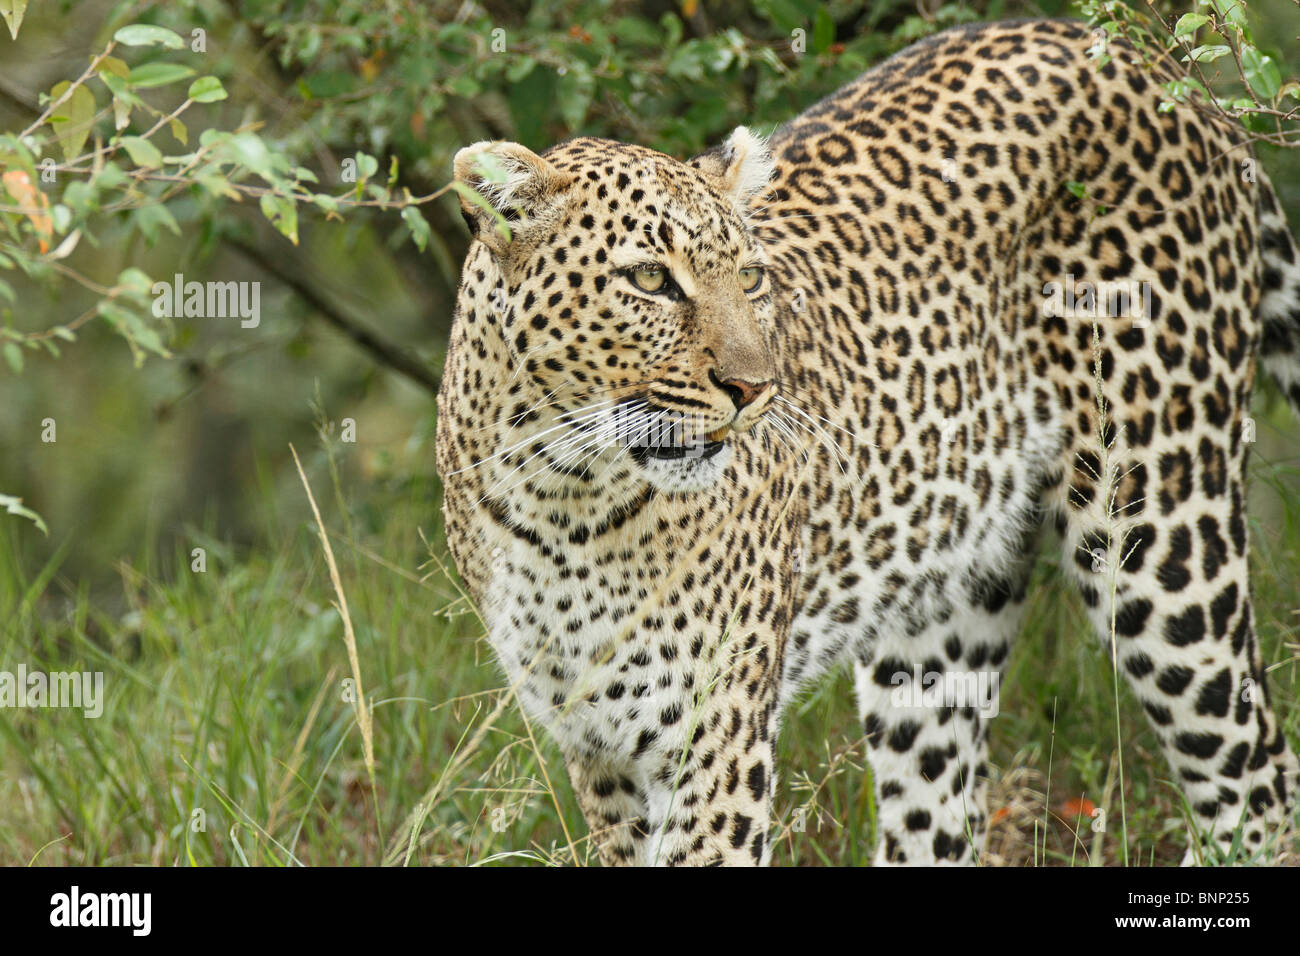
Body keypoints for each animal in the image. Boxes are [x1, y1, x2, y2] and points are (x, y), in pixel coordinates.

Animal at [435, 17, 1300, 866]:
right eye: (649, 280)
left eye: (750, 278)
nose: (755, 389)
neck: (564, 491)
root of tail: (1156, 64)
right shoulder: (597, 750)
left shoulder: (713, 740)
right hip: (945, 612)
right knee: (940, 818)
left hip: (1161, 534)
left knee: (1258, 782)